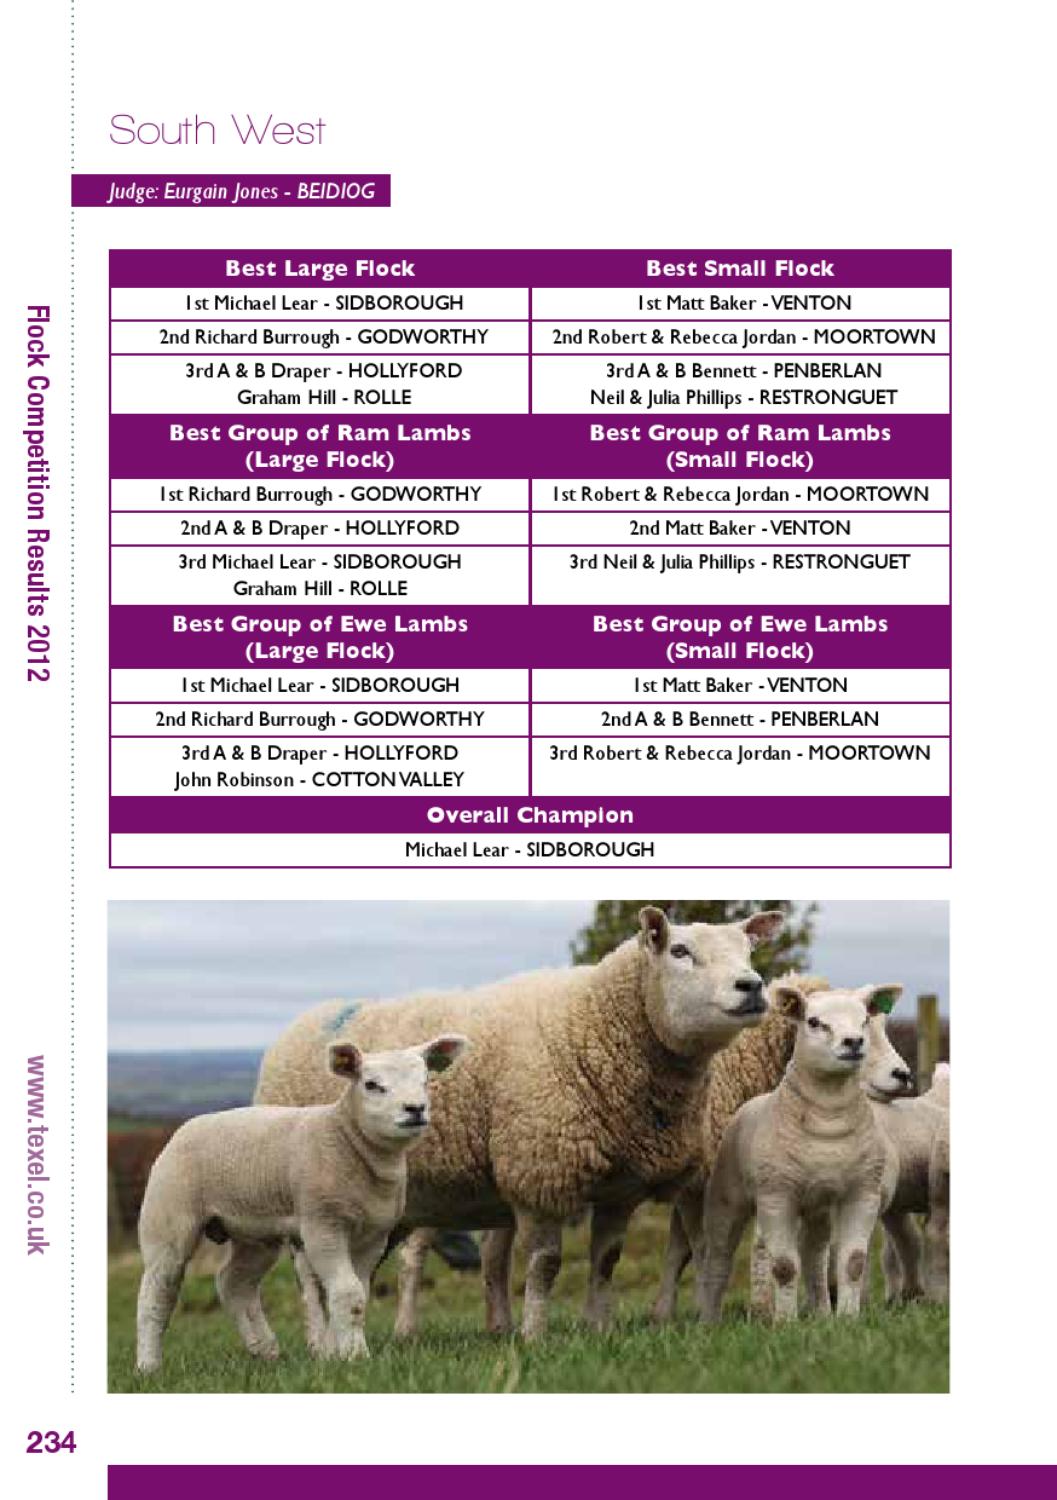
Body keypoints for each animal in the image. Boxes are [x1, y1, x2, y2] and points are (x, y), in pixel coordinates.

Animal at [135, 1034, 467, 1373]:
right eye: (371, 1085)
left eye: (425, 1081)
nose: (415, 1109)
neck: (348, 1140)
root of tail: (182, 1130)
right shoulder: (323, 1226)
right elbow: (348, 1292)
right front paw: (354, 1357)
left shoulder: (373, 1235)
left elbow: (358, 1295)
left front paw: (342, 1351)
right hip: (168, 1218)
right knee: (157, 1292)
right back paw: (149, 1365)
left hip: (254, 1234)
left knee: (233, 1283)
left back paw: (265, 1349)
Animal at [255, 905, 786, 1339]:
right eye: (679, 950)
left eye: (747, 951)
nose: (753, 986)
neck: (595, 1027)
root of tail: (296, 1028)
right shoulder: (539, 1174)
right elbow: (545, 1265)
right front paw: (533, 1336)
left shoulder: (620, 1188)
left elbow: (606, 1261)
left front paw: (597, 1329)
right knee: (308, 1276)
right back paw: (318, 1341)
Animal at [696, 981, 899, 1323]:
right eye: (814, 1022)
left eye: (863, 1020)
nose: (854, 1042)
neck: (829, 1120)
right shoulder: (777, 1197)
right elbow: (784, 1267)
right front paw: (785, 1323)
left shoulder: (862, 1194)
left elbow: (853, 1263)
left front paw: (847, 1319)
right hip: (726, 1196)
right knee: (719, 1258)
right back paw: (708, 1321)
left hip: (817, 1205)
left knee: (813, 1253)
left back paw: (821, 1313)